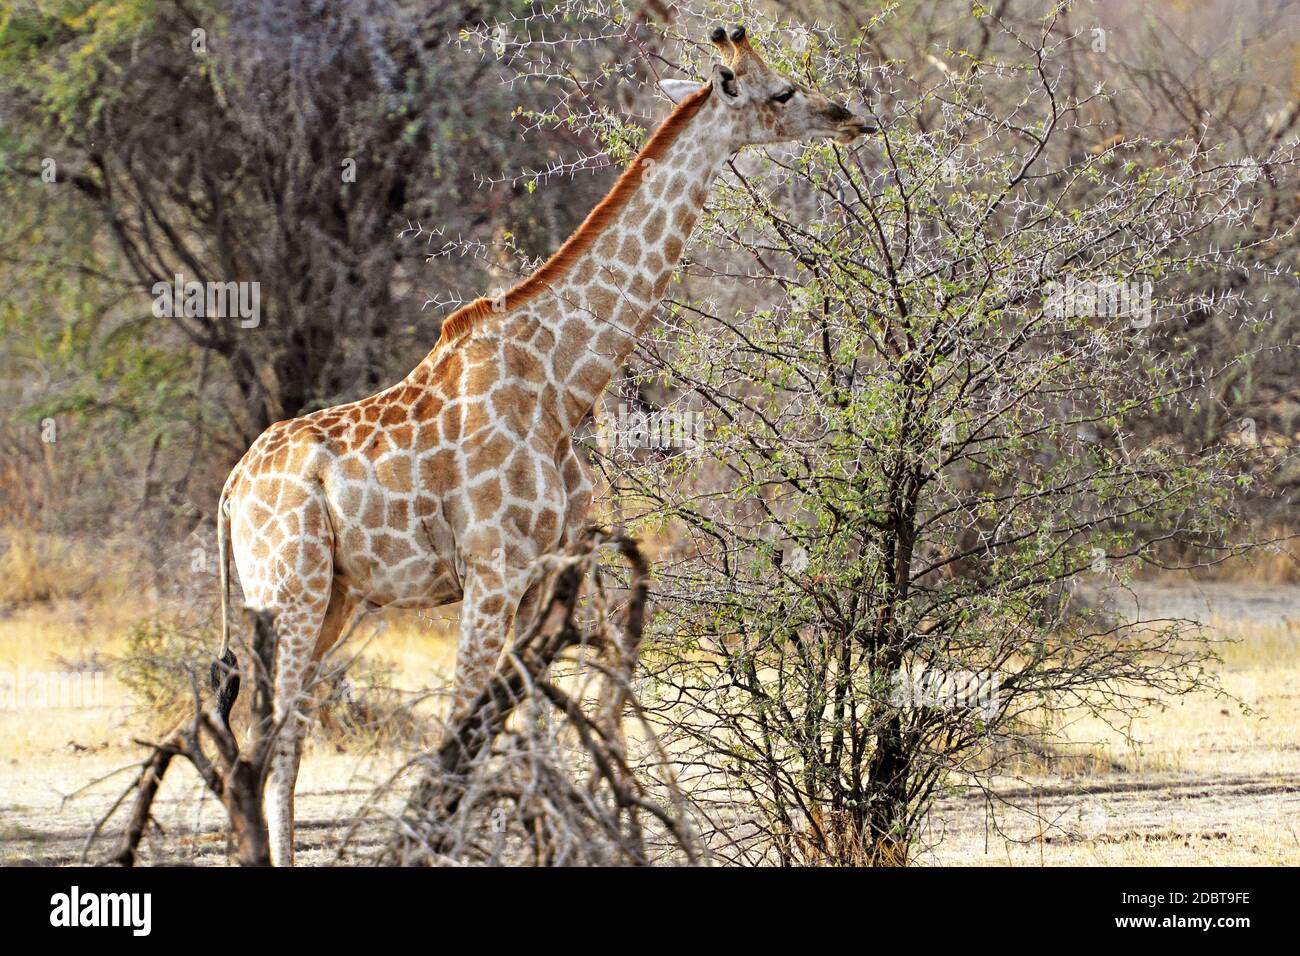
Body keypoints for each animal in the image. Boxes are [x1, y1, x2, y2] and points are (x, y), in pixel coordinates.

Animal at [212, 24, 873, 865]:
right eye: (782, 92)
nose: (852, 118)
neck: (563, 383)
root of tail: (232, 489)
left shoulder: (540, 575)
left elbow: (522, 735)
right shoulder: (491, 573)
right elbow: (459, 741)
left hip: (335, 596)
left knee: (279, 738)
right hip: (287, 593)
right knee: (275, 739)